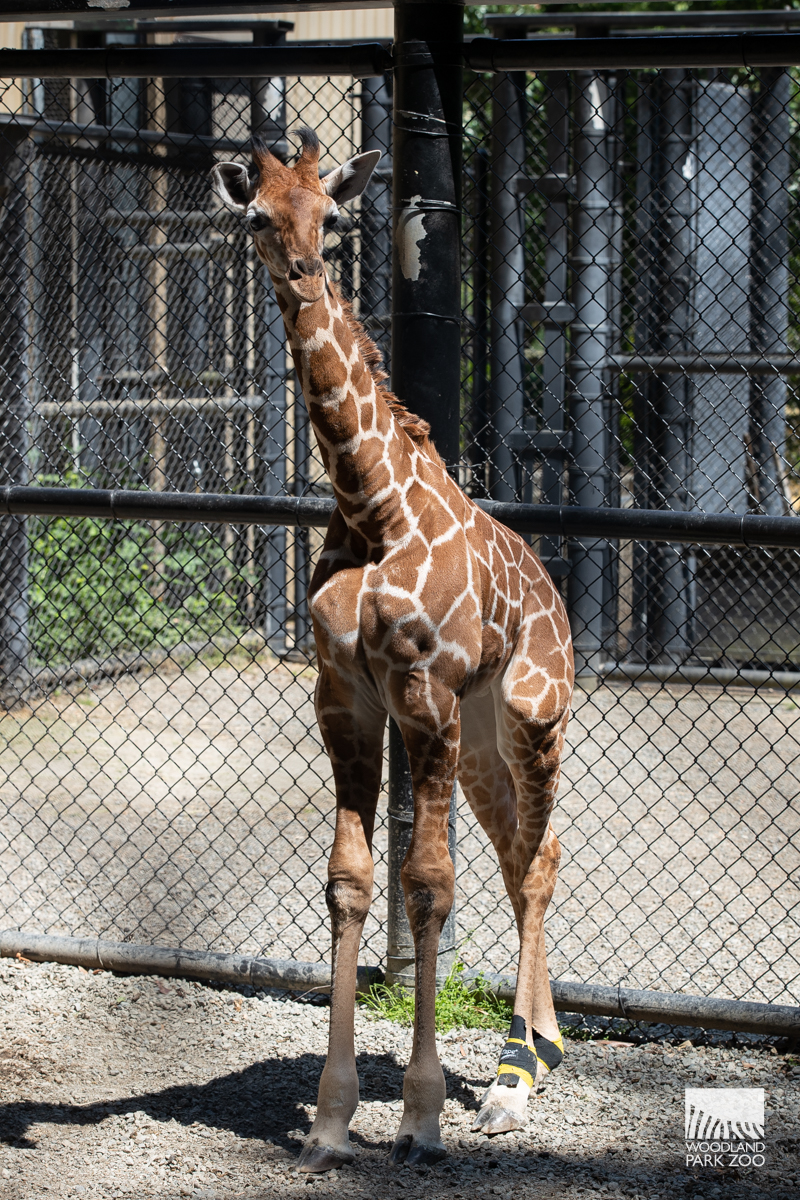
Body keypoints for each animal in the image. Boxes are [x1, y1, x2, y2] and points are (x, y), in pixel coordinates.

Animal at [213, 128, 574, 1174]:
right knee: (527, 852)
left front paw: (418, 1117)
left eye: (333, 216)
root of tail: (558, 599)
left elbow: (427, 884)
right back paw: (541, 1048)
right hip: (486, 740)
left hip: (530, 712)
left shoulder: (425, 692)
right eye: (259, 216)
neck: (373, 504)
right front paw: (332, 1121)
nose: (302, 272)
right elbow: (349, 883)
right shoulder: (347, 698)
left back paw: (510, 1083)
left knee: (538, 860)